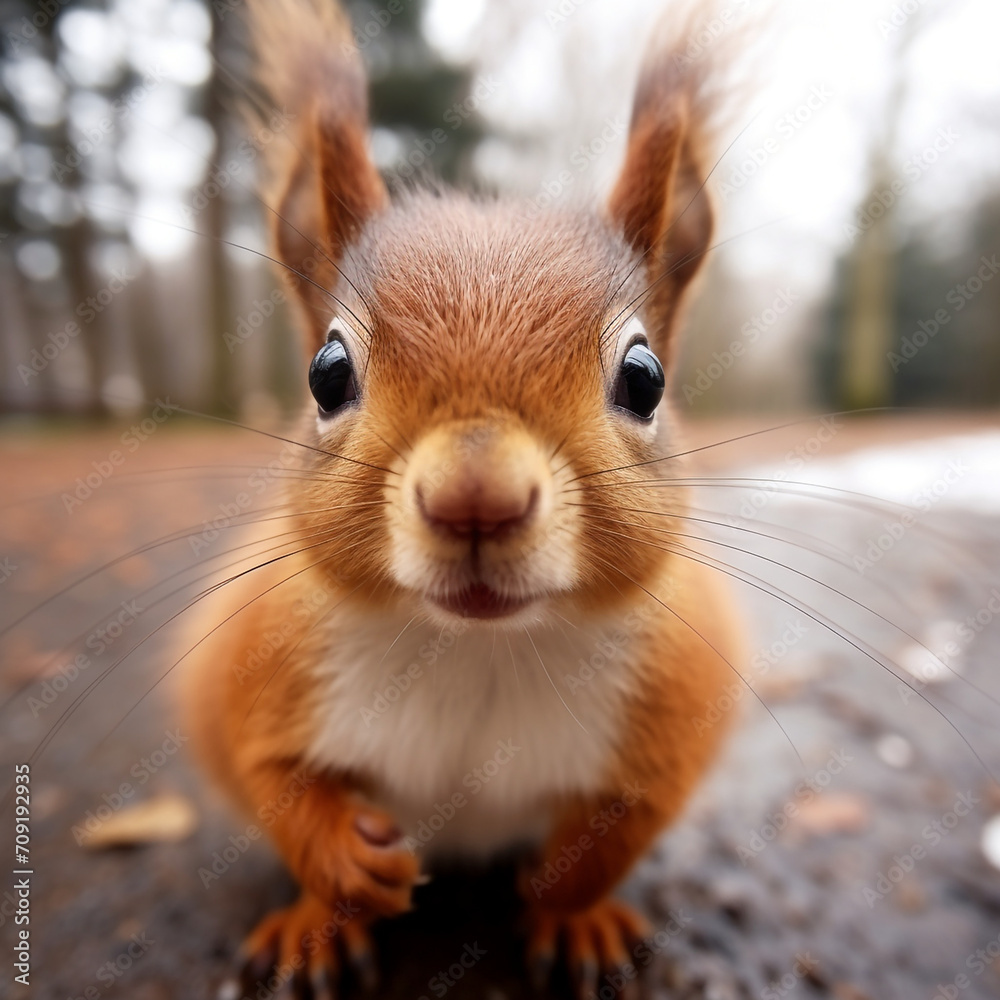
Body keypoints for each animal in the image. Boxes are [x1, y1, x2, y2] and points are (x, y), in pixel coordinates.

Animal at [181, 0, 748, 995]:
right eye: (327, 374)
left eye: (645, 380)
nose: (475, 502)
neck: (477, 653)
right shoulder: (251, 669)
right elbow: (270, 779)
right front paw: (344, 871)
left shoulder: (678, 698)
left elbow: (628, 823)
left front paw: (569, 903)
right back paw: (313, 935)